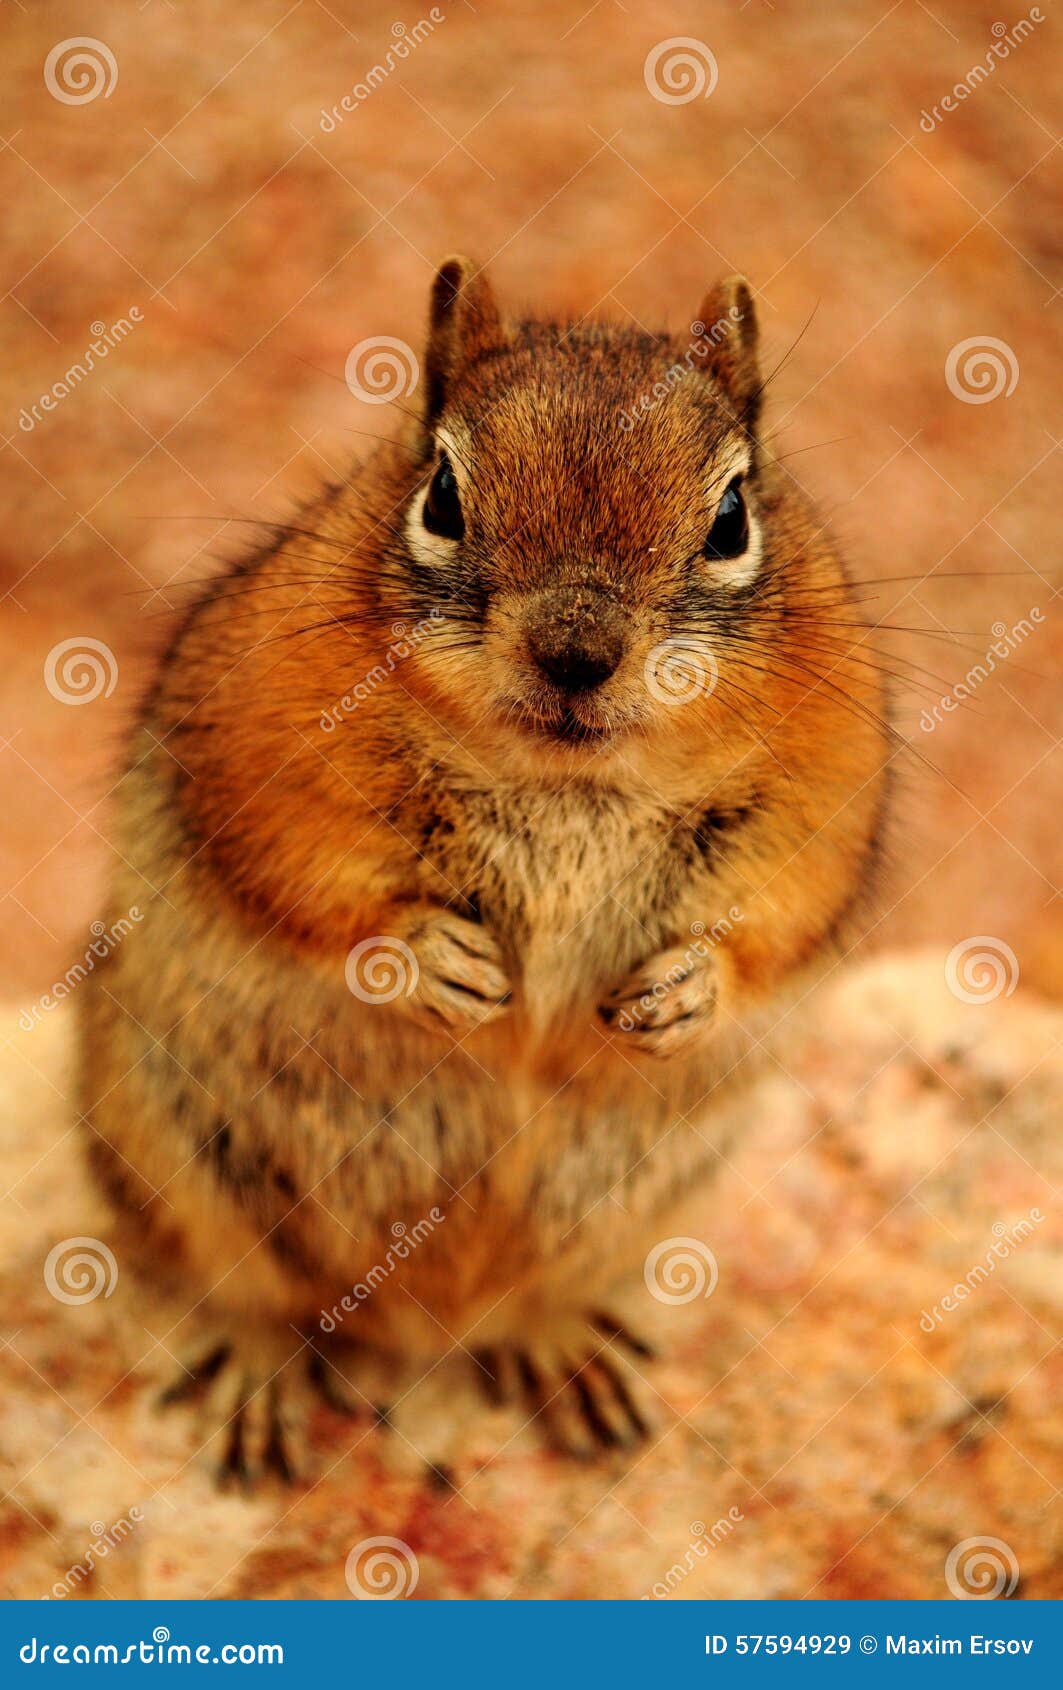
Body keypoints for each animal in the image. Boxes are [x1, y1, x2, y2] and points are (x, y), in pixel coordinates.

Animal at [78, 256, 890, 1484]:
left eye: (731, 516)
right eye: (442, 499)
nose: (575, 652)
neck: (562, 780)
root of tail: (427, 1317)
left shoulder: (819, 795)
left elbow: (775, 918)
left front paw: (682, 990)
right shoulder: (265, 754)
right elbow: (311, 883)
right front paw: (432, 963)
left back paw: (569, 1359)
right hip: (175, 1147)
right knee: (252, 1295)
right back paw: (261, 1387)